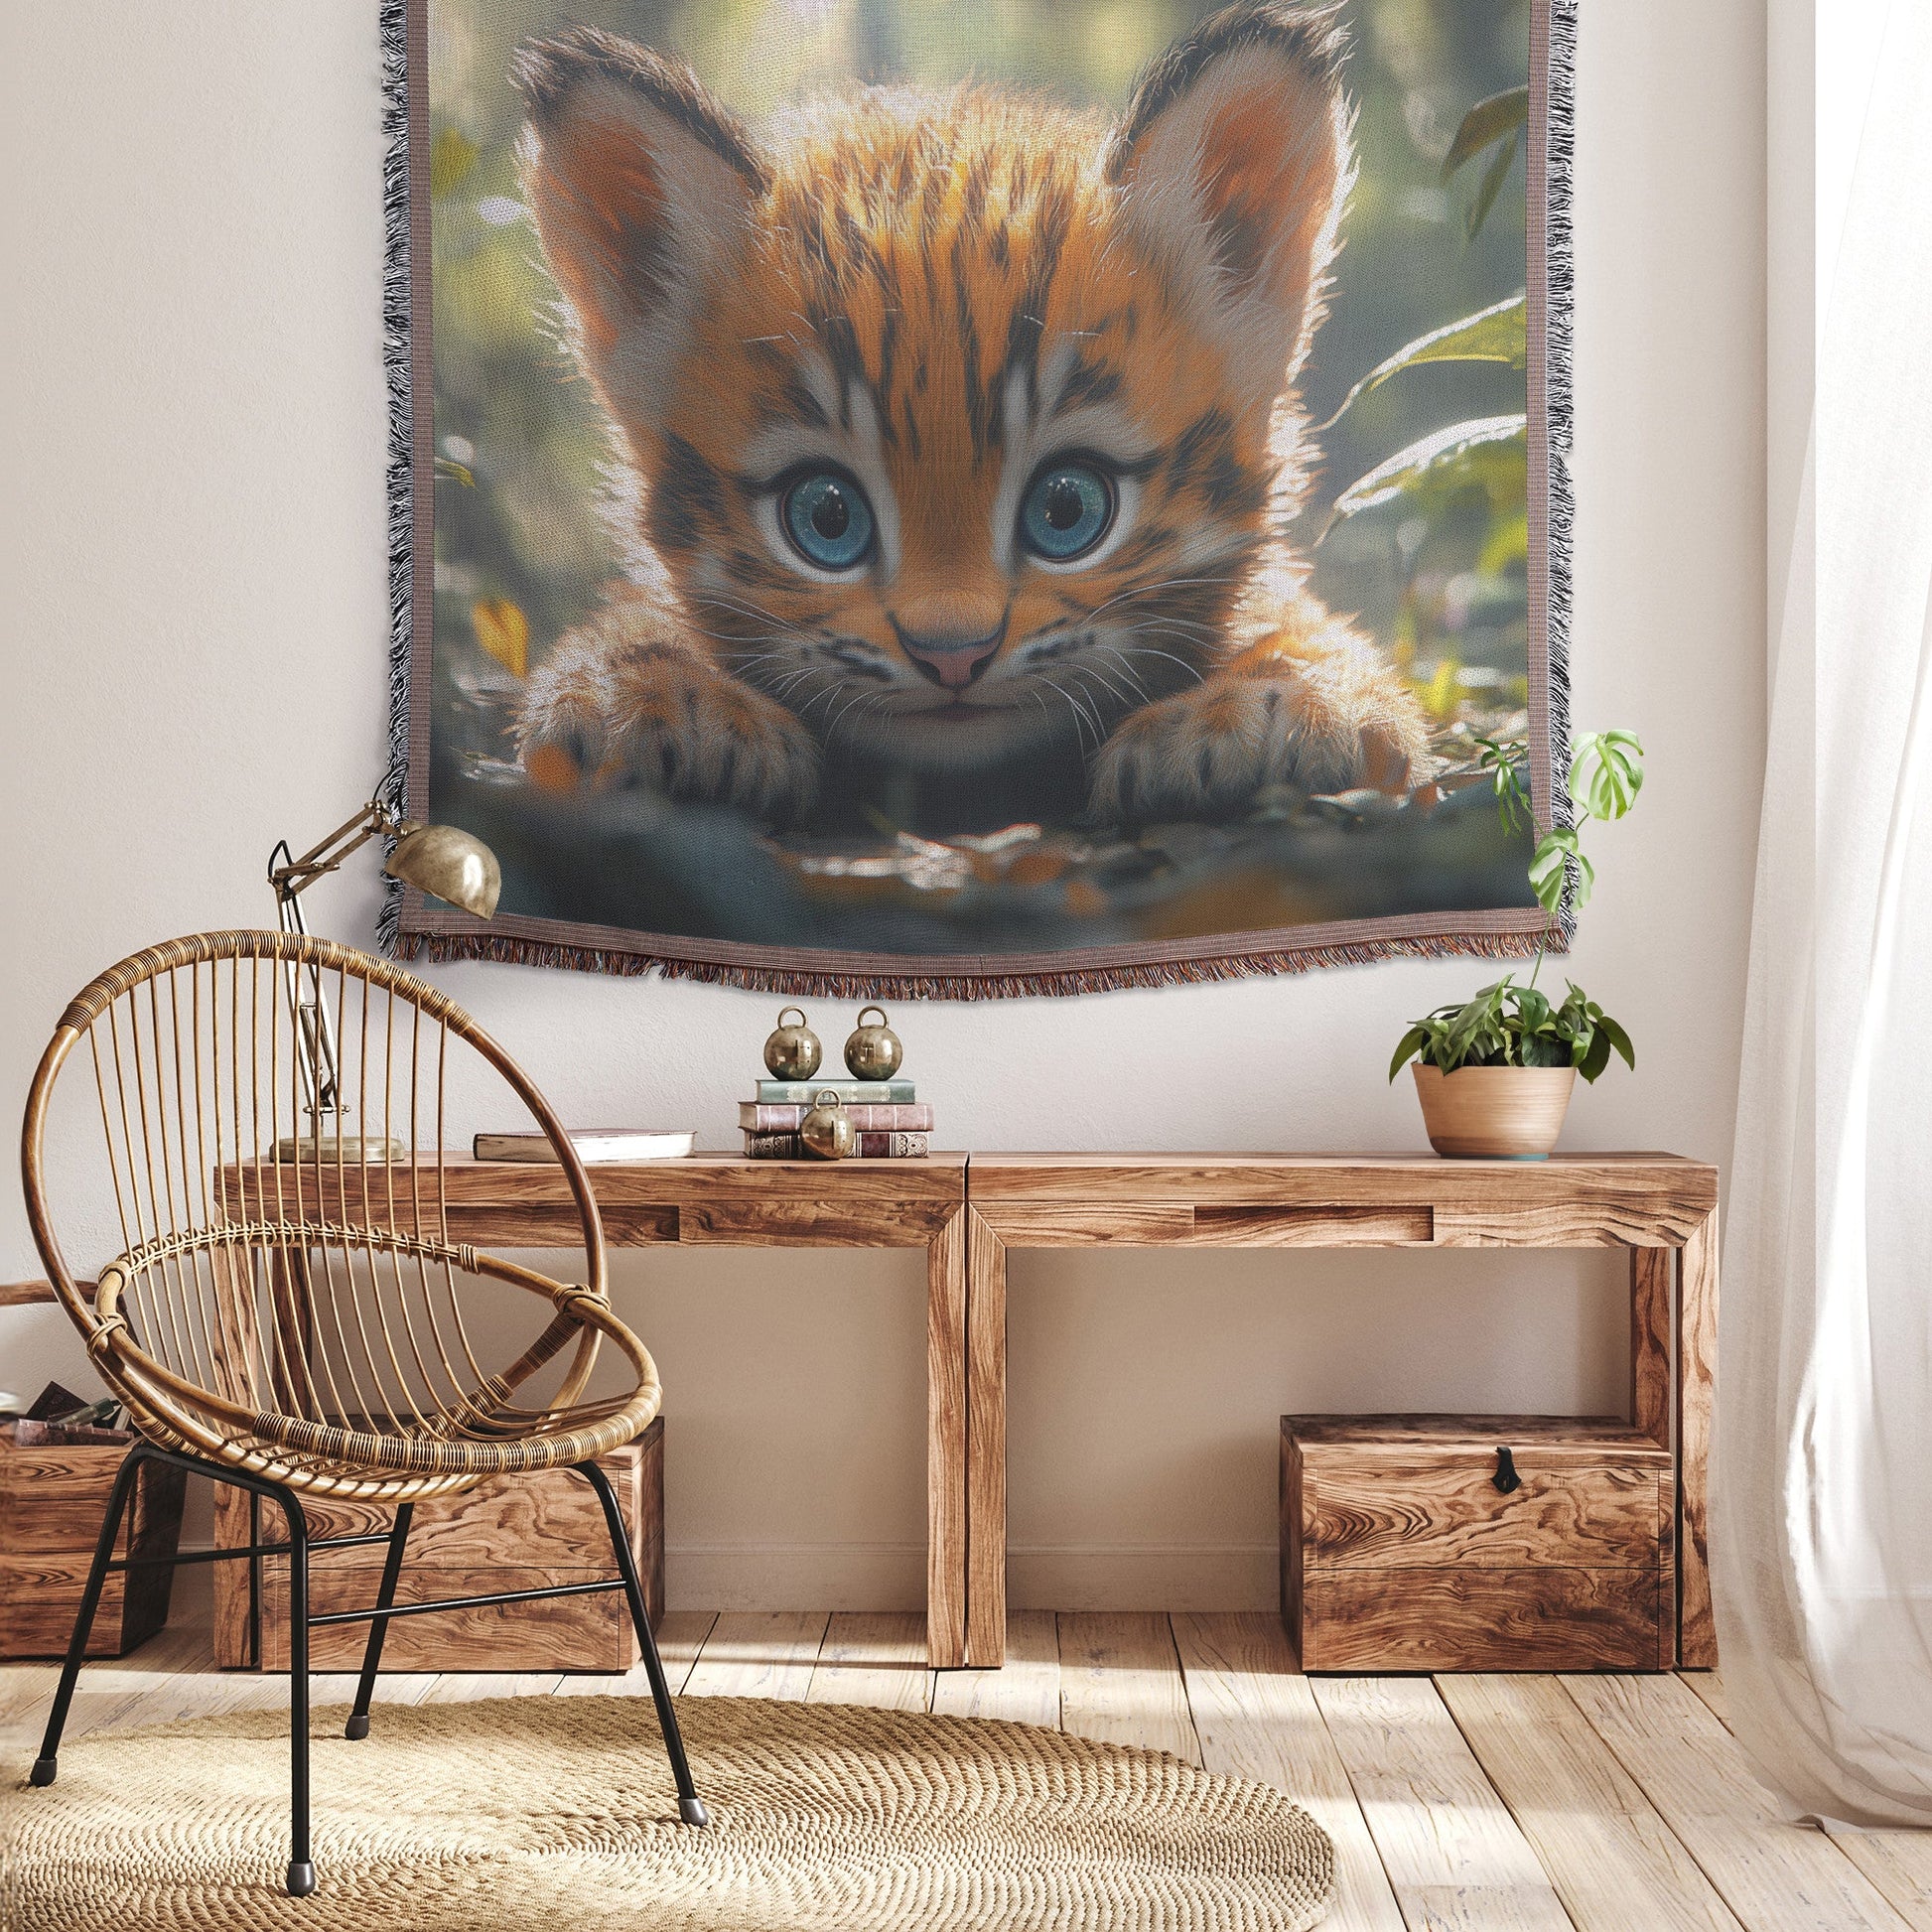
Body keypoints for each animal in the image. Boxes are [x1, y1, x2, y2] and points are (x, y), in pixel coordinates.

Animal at [509, 2, 1431, 832]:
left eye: (1067, 509)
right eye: (826, 518)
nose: (952, 654)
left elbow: (1300, 623)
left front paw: (1271, 698)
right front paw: (661, 692)